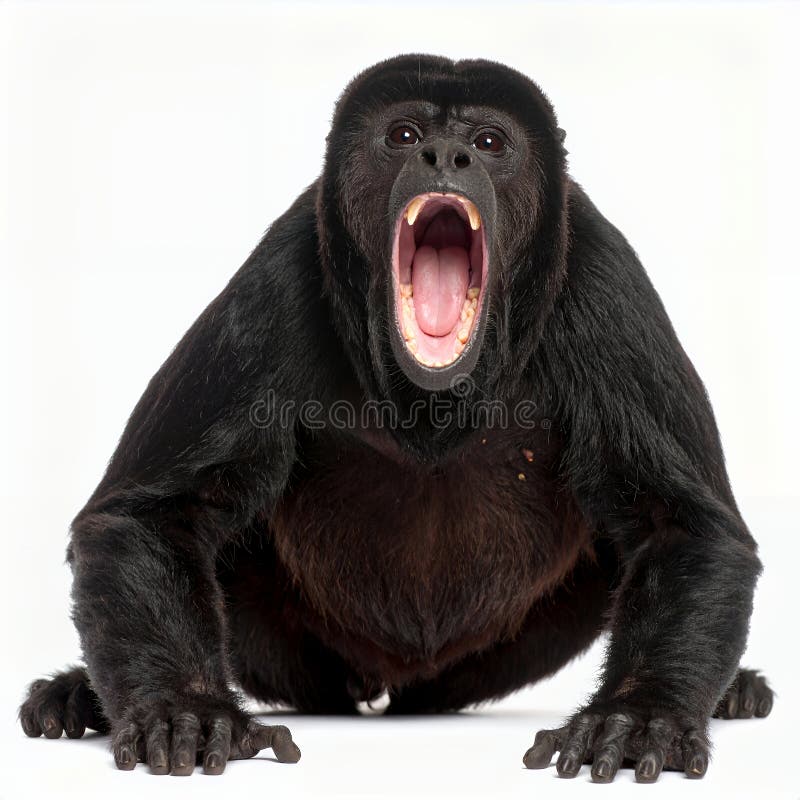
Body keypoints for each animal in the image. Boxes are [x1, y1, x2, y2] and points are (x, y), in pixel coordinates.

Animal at [19, 53, 773, 783]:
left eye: (489, 143)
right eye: (405, 135)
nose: (445, 155)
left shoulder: (605, 278)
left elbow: (679, 525)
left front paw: (640, 715)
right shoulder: (277, 279)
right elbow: (151, 517)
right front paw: (187, 710)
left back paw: (732, 690)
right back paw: (78, 695)